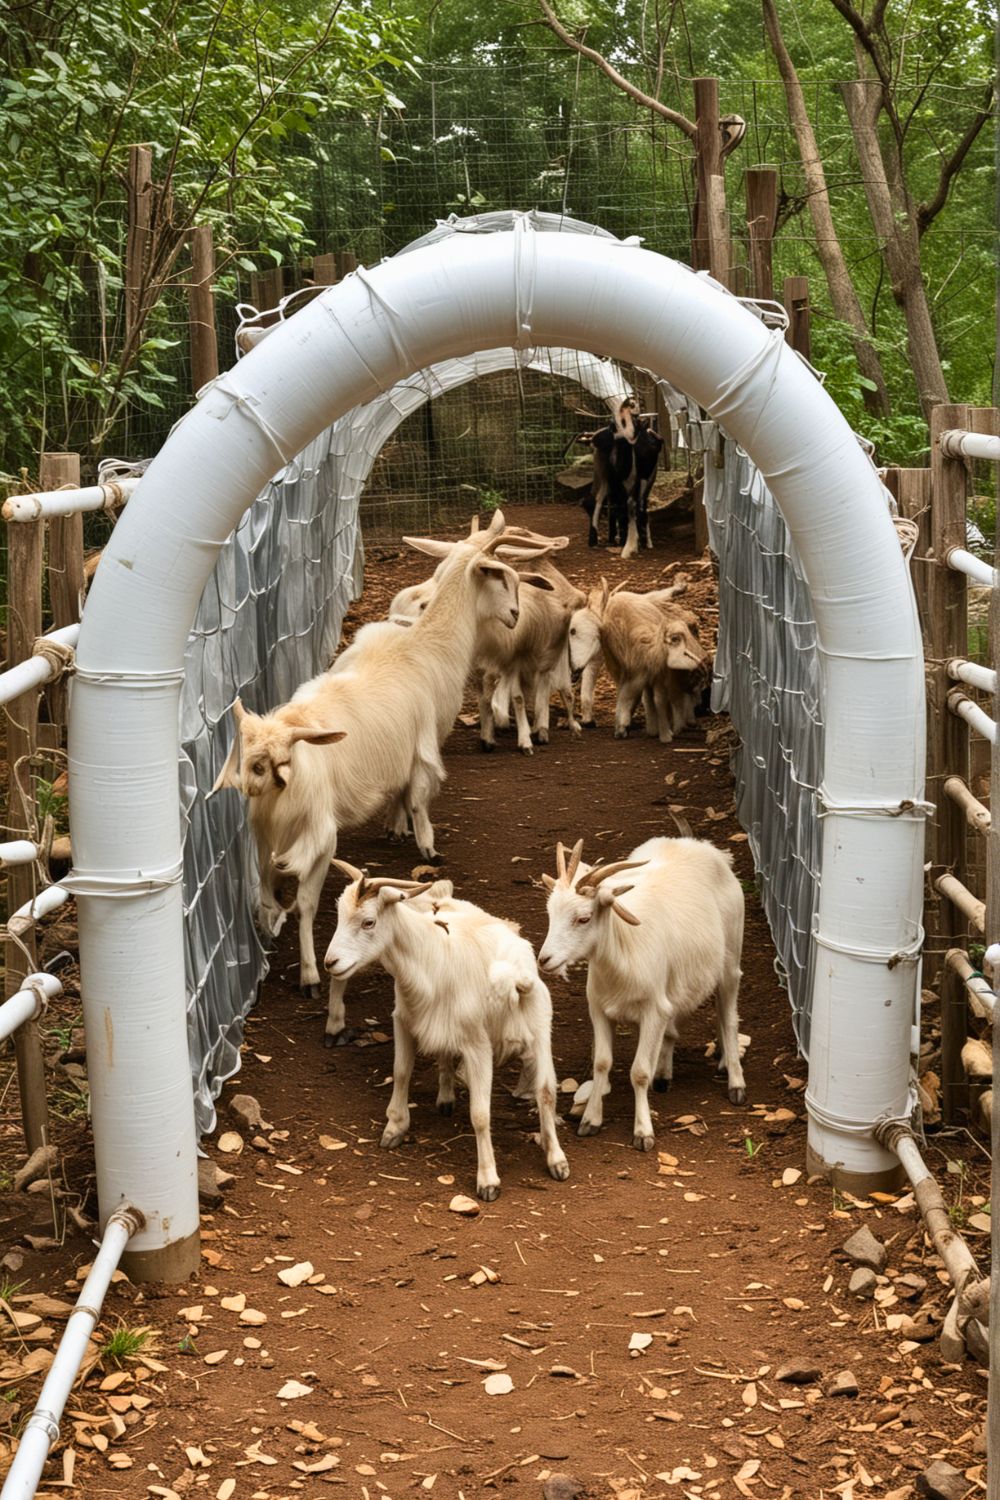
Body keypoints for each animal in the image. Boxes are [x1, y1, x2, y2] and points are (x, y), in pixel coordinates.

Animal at [211, 511, 550, 1045]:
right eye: (503, 577)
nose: (516, 616)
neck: (428, 645)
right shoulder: (424, 749)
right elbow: (420, 798)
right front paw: (426, 844)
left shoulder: (394, 759)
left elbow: (398, 794)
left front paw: (394, 827)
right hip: (316, 832)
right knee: (306, 902)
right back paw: (310, 973)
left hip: (266, 832)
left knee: (267, 884)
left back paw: (270, 926)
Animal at [325, 861, 570, 1200]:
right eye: (338, 916)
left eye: (368, 922)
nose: (330, 962)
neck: (430, 956)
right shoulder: (404, 1020)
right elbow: (401, 1071)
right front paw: (395, 1127)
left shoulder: (485, 1044)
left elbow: (499, 1108)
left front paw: (493, 1177)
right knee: (443, 1055)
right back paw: (445, 1097)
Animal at [537, 837, 746, 1152]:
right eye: (550, 913)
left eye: (584, 918)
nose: (544, 959)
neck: (625, 949)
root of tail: (705, 847)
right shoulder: (599, 1009)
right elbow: (602, 1063)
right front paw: (591, 1120)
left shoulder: (653, 1010)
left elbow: (639, 1072)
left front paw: (643, 1131)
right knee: (675, 1027)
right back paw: (665, 1073)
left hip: (731, 959)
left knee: (728, 1017)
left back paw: (735, 1080)